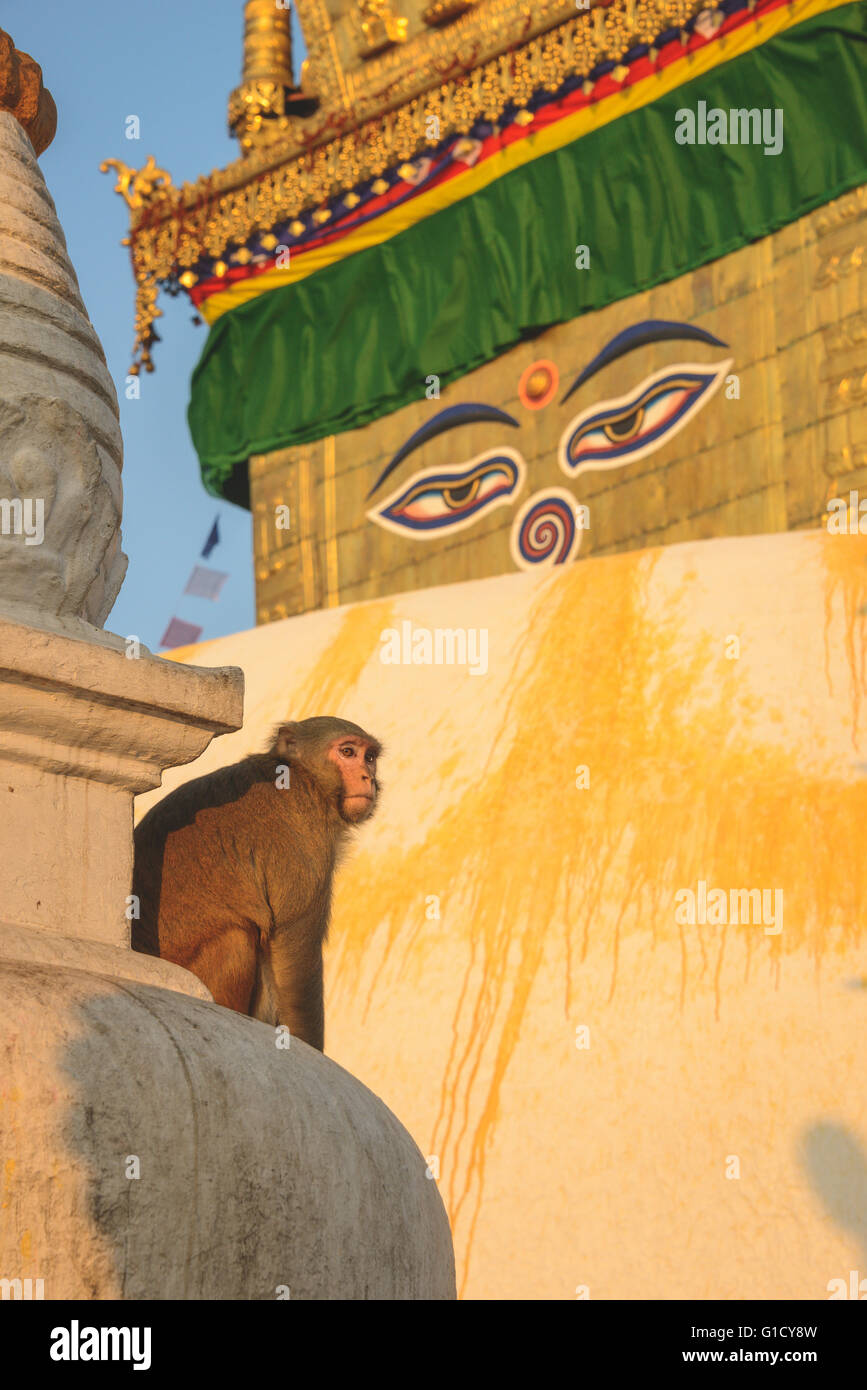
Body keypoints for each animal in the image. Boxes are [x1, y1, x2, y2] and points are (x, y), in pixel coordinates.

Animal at [132, 717, 381, 1052]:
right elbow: (295, 947)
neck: (304, 776)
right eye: (348, 752)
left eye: (370, 757)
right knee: (239, 935)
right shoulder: (308, 833)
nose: (369, 778)